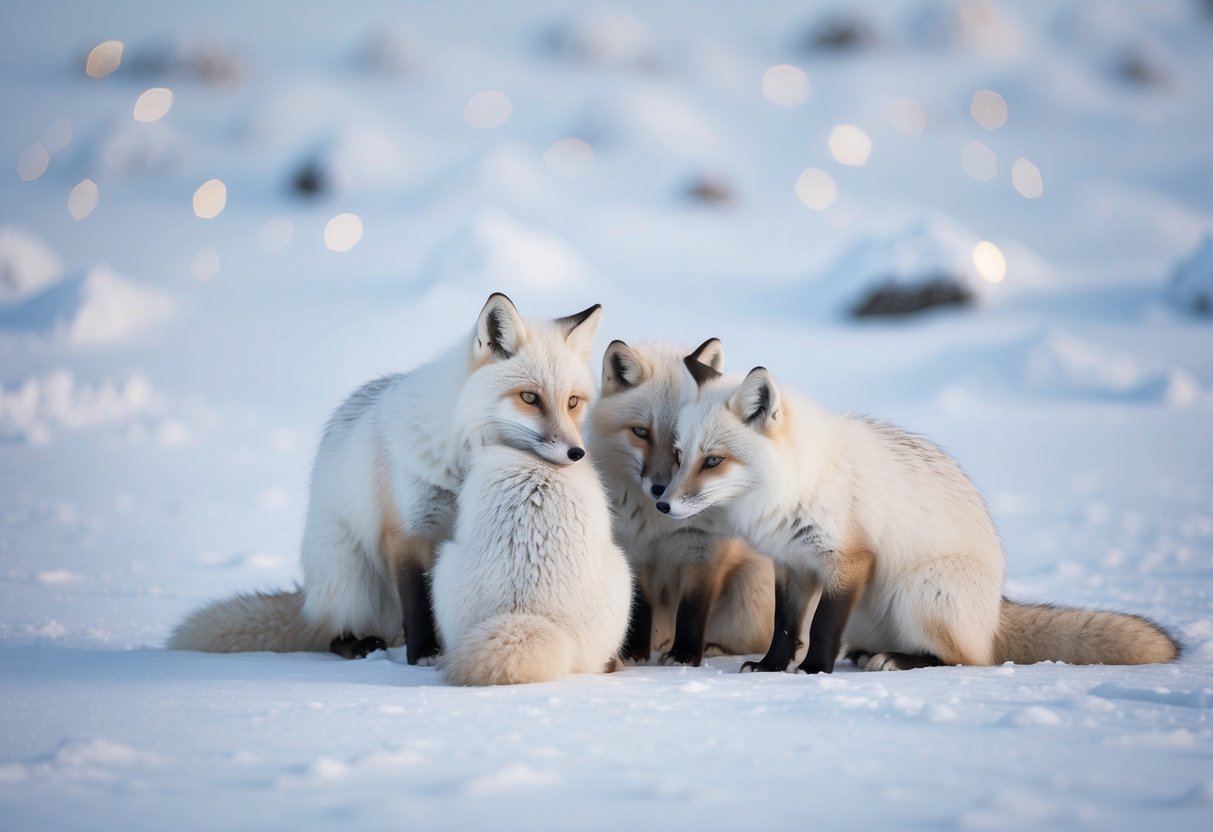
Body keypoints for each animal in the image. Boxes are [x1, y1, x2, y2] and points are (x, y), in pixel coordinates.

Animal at [169, 293, 605, 664]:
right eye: (529, 398)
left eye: (572, 402)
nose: (576, 453)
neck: (462, 460)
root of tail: (309, 599)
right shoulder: (406, 529)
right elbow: (417, 599)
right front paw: (425, 653)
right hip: (348, 569)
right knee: (334, 634)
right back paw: (360, 645)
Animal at [588, 338, 774, 666]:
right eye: (641, 432)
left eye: (680, 443)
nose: (660, 491)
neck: (659, 524)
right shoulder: (635, 550)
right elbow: (640, 609)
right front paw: (635, 652)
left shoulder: (704, 550)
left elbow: (693, 610)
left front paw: (685, 655)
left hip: (746, 591)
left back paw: (712, 648)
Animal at [659, 356, 1181, 673]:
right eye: (680, 455)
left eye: (713, 461)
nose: (663, 503)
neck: (797, 483)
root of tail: (995, 612)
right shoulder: (792, 563)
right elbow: (786, 626)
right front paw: (769, 668)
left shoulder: (848, 560)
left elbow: (823, 626)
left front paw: (812, 672)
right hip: (876, 613)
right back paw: (871, 653)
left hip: (919, 593)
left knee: (966, 660)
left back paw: (897, 660)